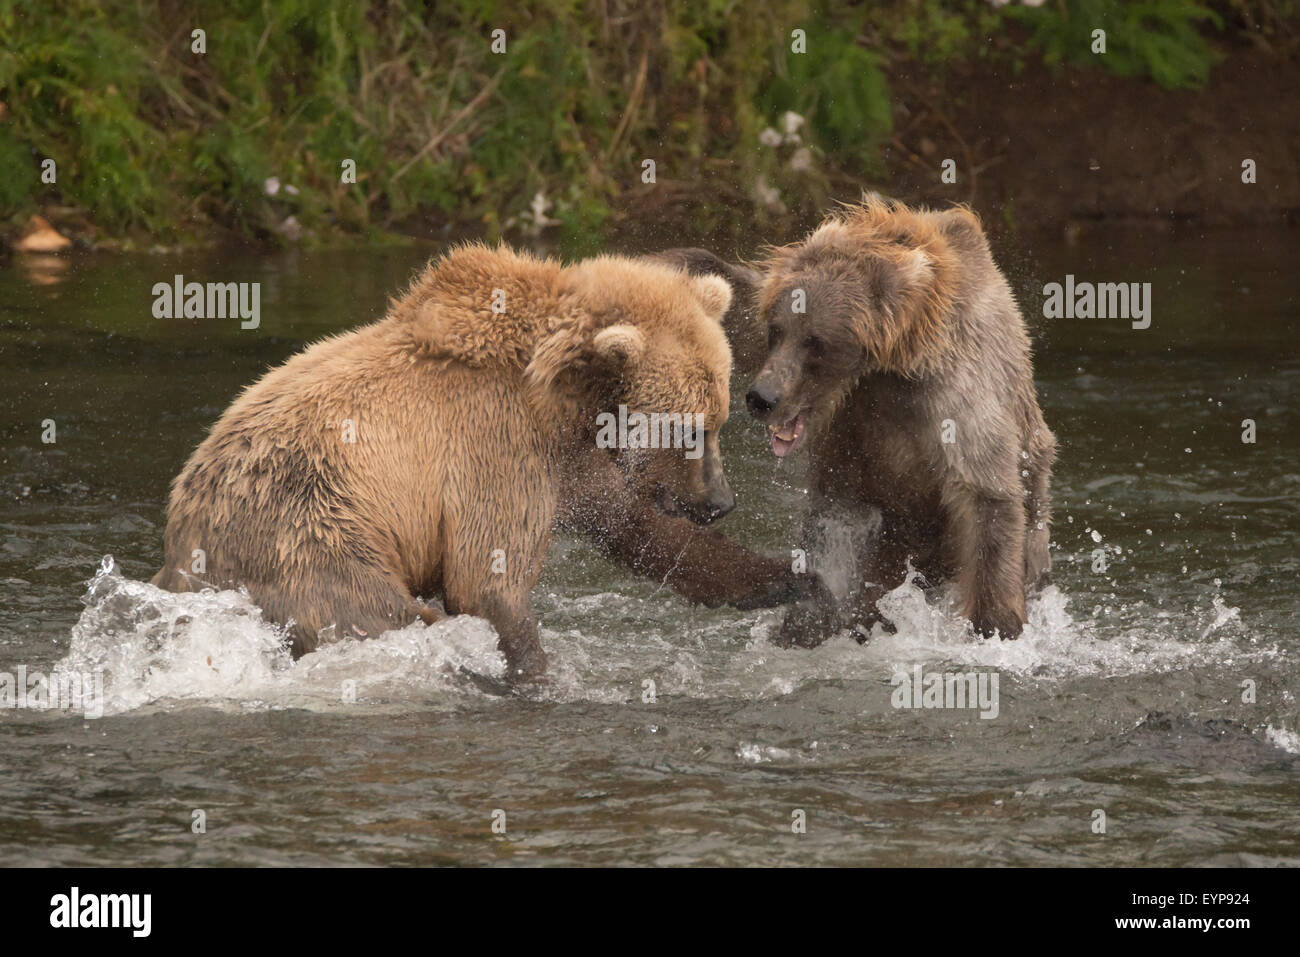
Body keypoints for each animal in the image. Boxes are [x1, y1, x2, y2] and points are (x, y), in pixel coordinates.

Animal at [152, 243, 817, 680]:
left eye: (718, 419)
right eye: (684, 428)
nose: (720, 501)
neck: (562, 403)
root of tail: (183, 535)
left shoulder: (570, 467)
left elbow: (638, 527)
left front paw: (786, 577)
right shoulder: (494, 448)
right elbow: (487, 577)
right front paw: (536, 670)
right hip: (315, 532)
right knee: (377, 614)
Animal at [703, 196, 1057, 643]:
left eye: (815, 341)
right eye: (776, 330)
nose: (761, 398)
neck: (886, 366)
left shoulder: (951, 400)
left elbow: (987, 494)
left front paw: (997, 626)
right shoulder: (853, 430)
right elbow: (836, 520)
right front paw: (811, 618)